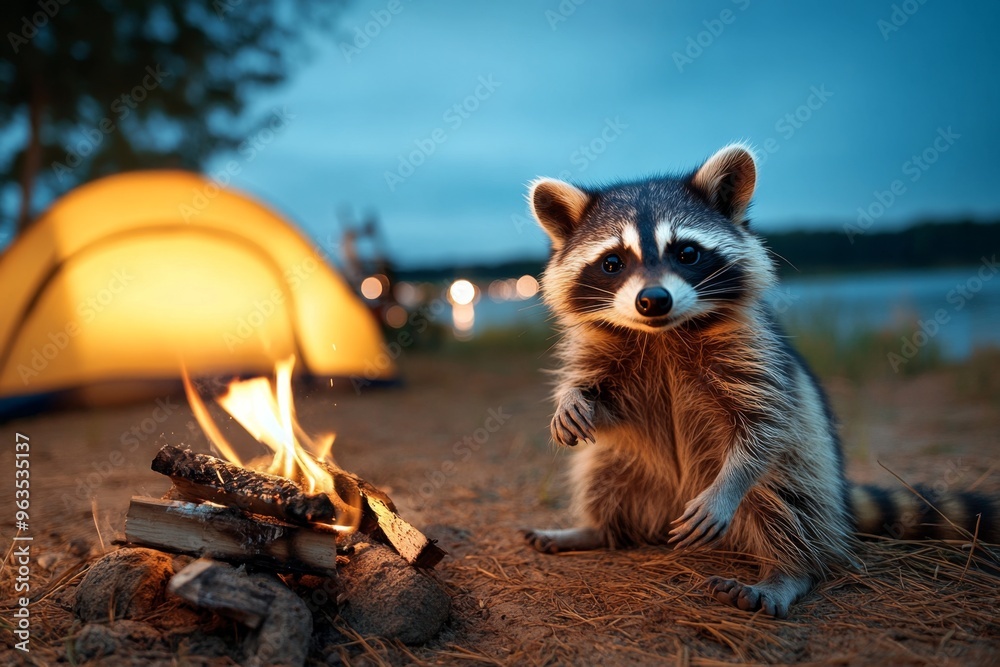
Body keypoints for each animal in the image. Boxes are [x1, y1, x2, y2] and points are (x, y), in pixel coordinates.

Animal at [522, 144, 997, 618]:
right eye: (612, 262)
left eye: (686, 253)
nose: (653, 301)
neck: (662, 334)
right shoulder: (607, 351)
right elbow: (602, 396)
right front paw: (572, 399)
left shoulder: (754, 355)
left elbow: (764, 426)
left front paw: (730, 487)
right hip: (629, 463)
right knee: (600, 474)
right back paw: (597, 529)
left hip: (807, 468)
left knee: (785, 503)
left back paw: (785, 572)